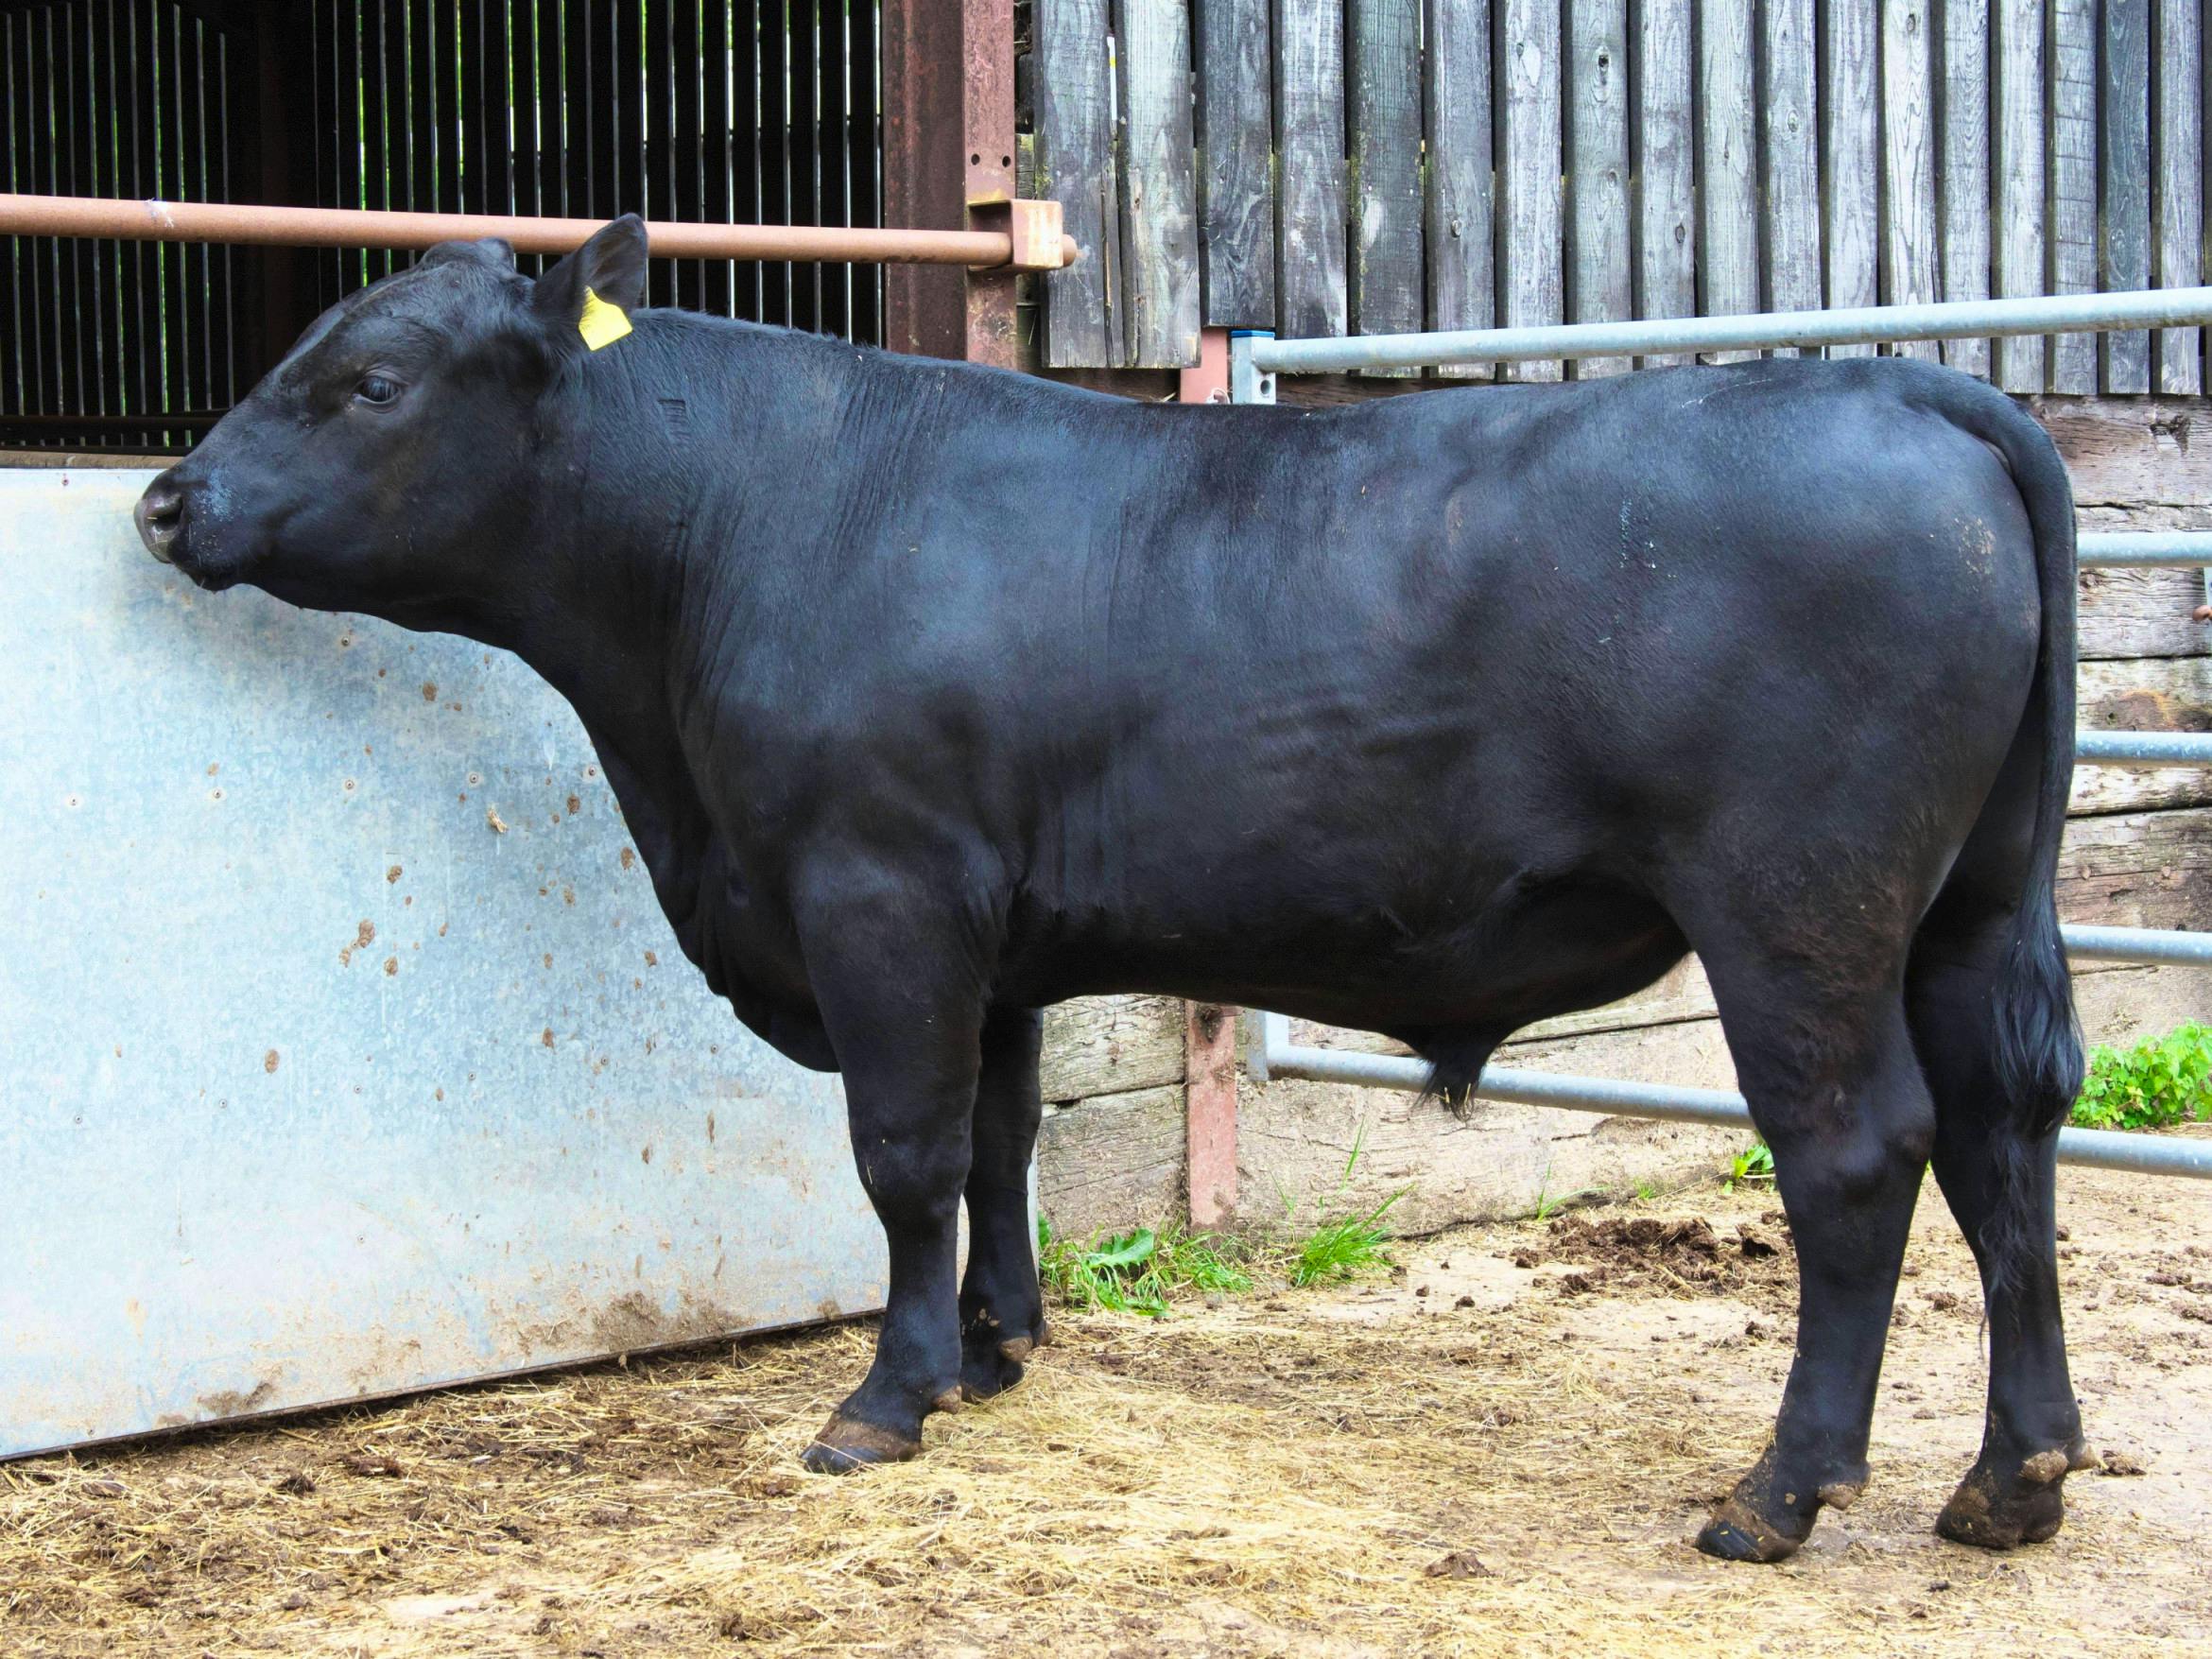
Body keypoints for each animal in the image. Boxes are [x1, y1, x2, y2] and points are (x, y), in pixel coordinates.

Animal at [135, 216, 2089, 1563]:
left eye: (370, 380)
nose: (165, 498)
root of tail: (1909, 381)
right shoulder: (987, 940)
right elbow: (1000, 1143)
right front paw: (996, 1353)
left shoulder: (881, 893)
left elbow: (903, 1156)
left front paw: (886, 1399)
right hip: (1977, 905)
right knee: (2006, 1137)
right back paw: (2015, 1476)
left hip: (1798, 907)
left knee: (1861, 1155)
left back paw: (1783, 1490)